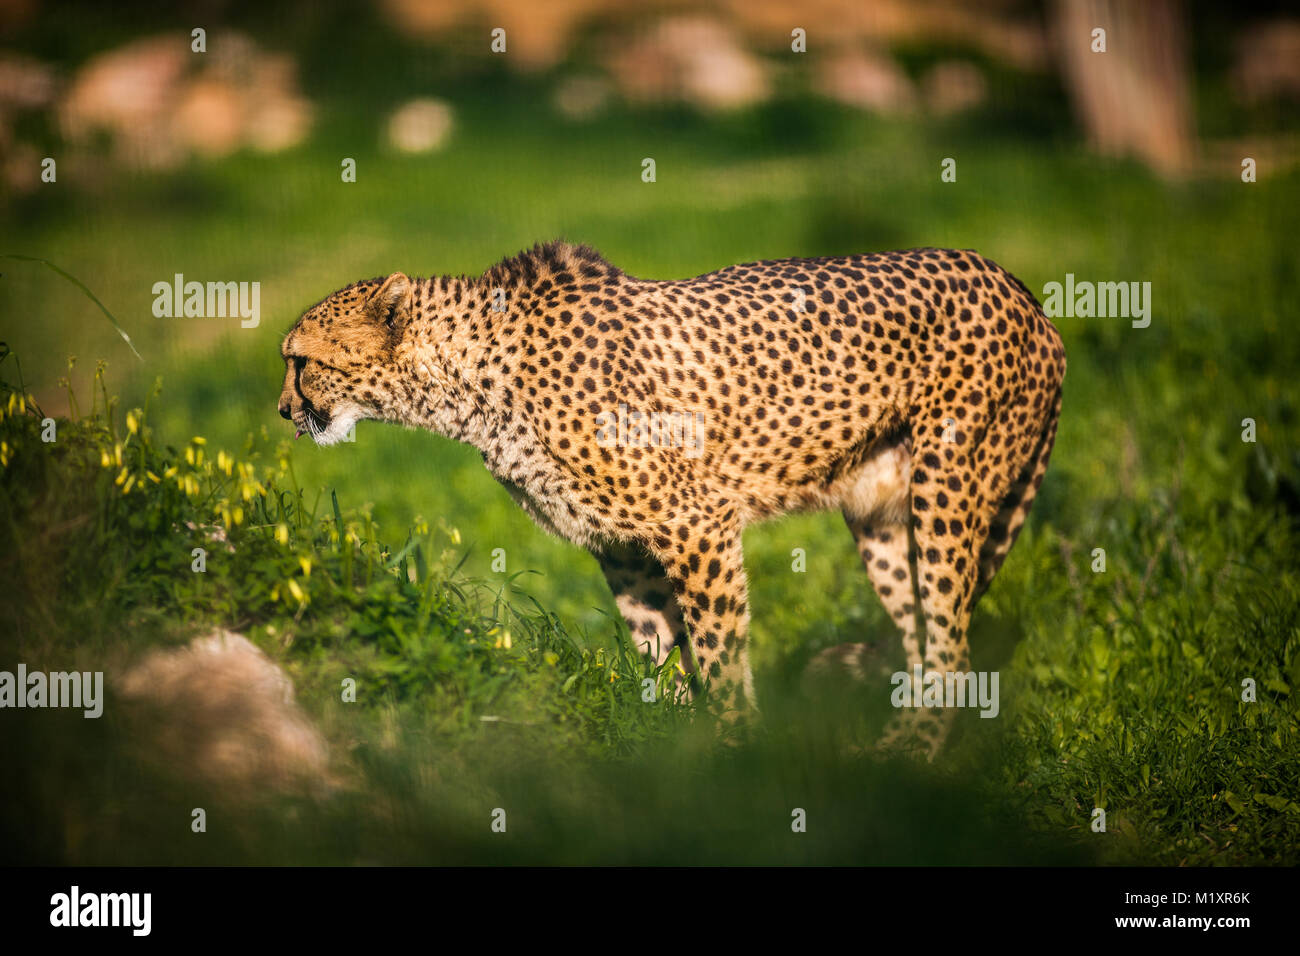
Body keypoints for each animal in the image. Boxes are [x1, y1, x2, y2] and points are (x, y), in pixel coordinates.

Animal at [277, 241, 1065, 756]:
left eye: (301, 361)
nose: (284, 412)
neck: (474, 378)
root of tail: (1027, 296)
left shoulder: (698, 524)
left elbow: (719, 654)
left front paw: (737, 750)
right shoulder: (623, 547)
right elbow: (656, 649)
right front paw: (677, 756)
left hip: (948, 488)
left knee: (954, 652)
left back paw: (914, 756)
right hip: (879, 514)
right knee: (921, 644)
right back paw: (893, 754)